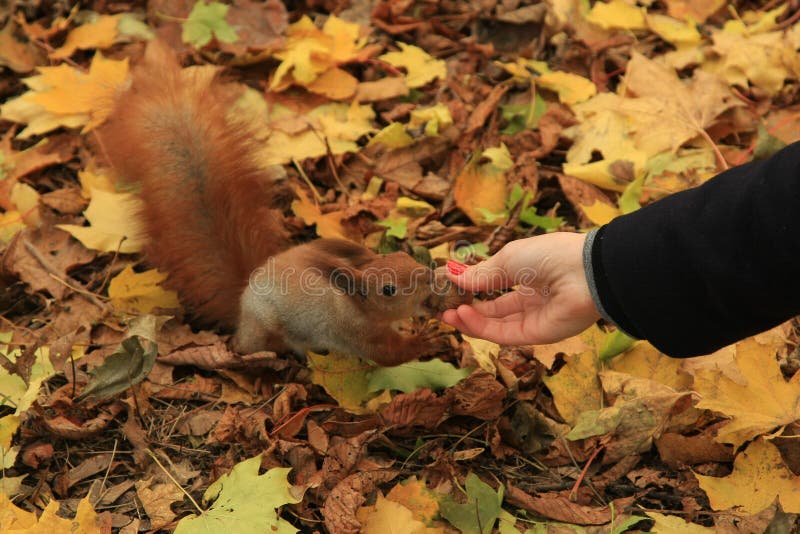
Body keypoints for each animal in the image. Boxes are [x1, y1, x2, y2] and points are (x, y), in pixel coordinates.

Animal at [97, 43, 471, 366]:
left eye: (402, 257)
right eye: (388, 290)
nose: (427, 276)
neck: (352, 305)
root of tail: (243, 302)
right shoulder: (353, 333)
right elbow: (388, 354)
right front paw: (426, 342)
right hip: (264, 329)